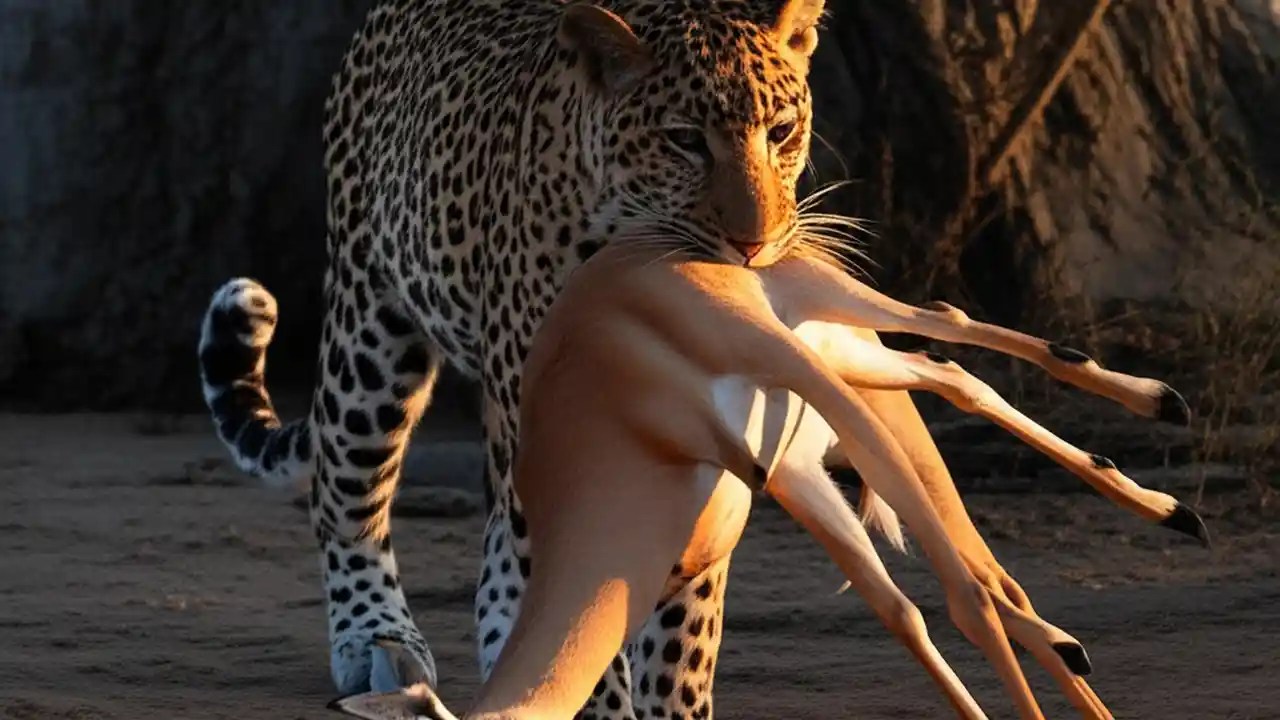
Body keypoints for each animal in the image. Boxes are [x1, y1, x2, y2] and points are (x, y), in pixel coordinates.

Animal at [197, 1, 831, 718]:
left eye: (782, 131)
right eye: (684, 140)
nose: (755, 243)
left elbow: (679, 648)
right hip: (372, 329)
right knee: (343, 495)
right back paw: (376, 637)